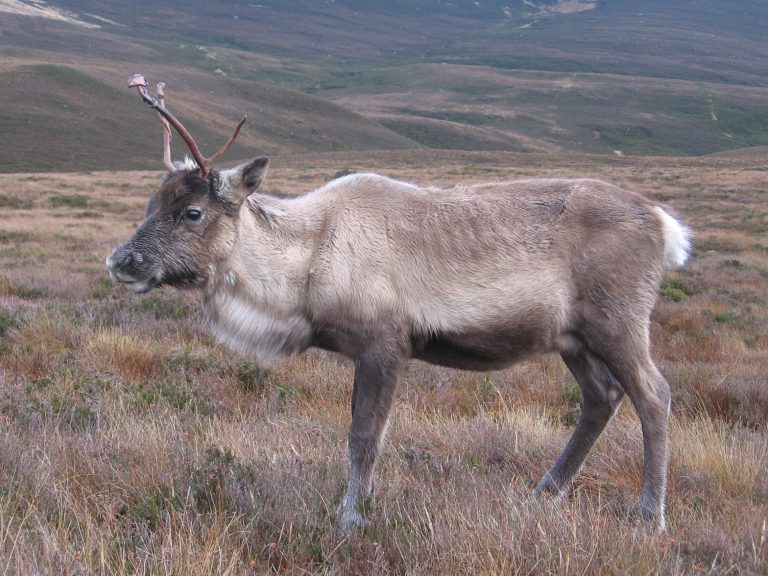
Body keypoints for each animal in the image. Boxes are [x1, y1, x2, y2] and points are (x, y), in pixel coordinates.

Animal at [107, 75, 691, 533]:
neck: (310, 258)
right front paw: (363, 505)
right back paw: (544, 493)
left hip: (619, 322)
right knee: (602, 396)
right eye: (152, 203)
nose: (120, 260)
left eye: (192, 212)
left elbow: (364, 436)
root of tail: (664, 224)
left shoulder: (385, 343)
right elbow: (371, 435)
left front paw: (350, 518)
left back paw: (650, 517)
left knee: (653, 395)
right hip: (572, 337)